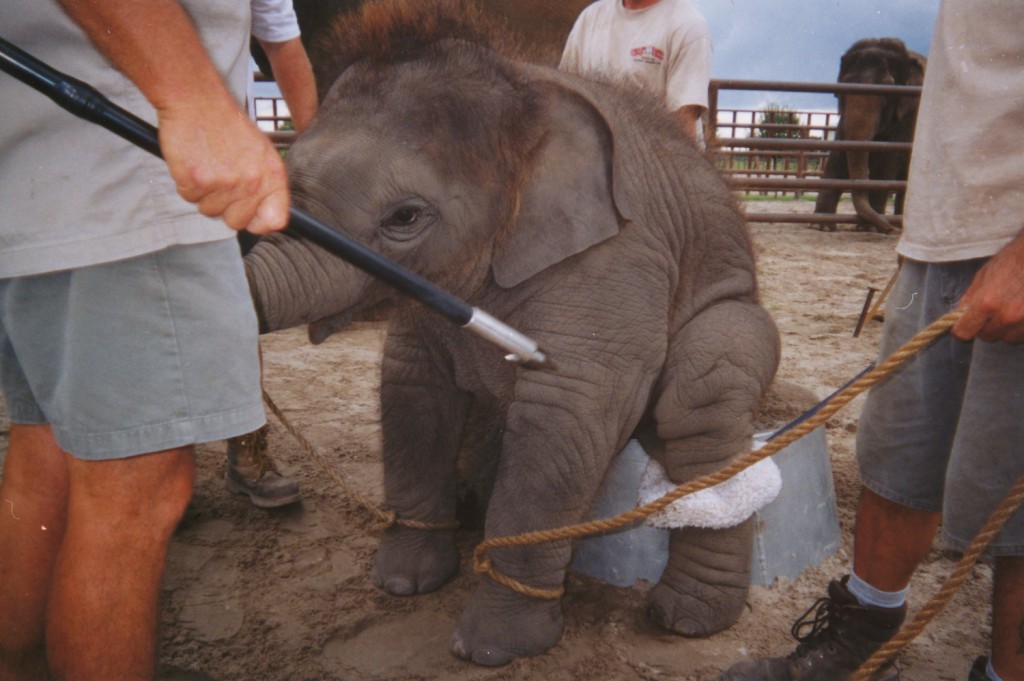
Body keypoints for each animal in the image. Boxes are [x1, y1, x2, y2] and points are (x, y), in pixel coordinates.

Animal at [244, 0, 781, 667]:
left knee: (702, 398)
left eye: (405, 217)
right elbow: (411, 388)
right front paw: (402, 584)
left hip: (737, 310)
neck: (525, 96)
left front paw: (491, 649)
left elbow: (567, 413)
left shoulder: (620, 255)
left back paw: (685, 619)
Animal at [813, 38, 926, 233]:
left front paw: (868, 229)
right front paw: (821, 226)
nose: (890, 230)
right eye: (842, 89)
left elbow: (885, 162)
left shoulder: (909, 115)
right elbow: (837, 158)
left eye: (887, 93)